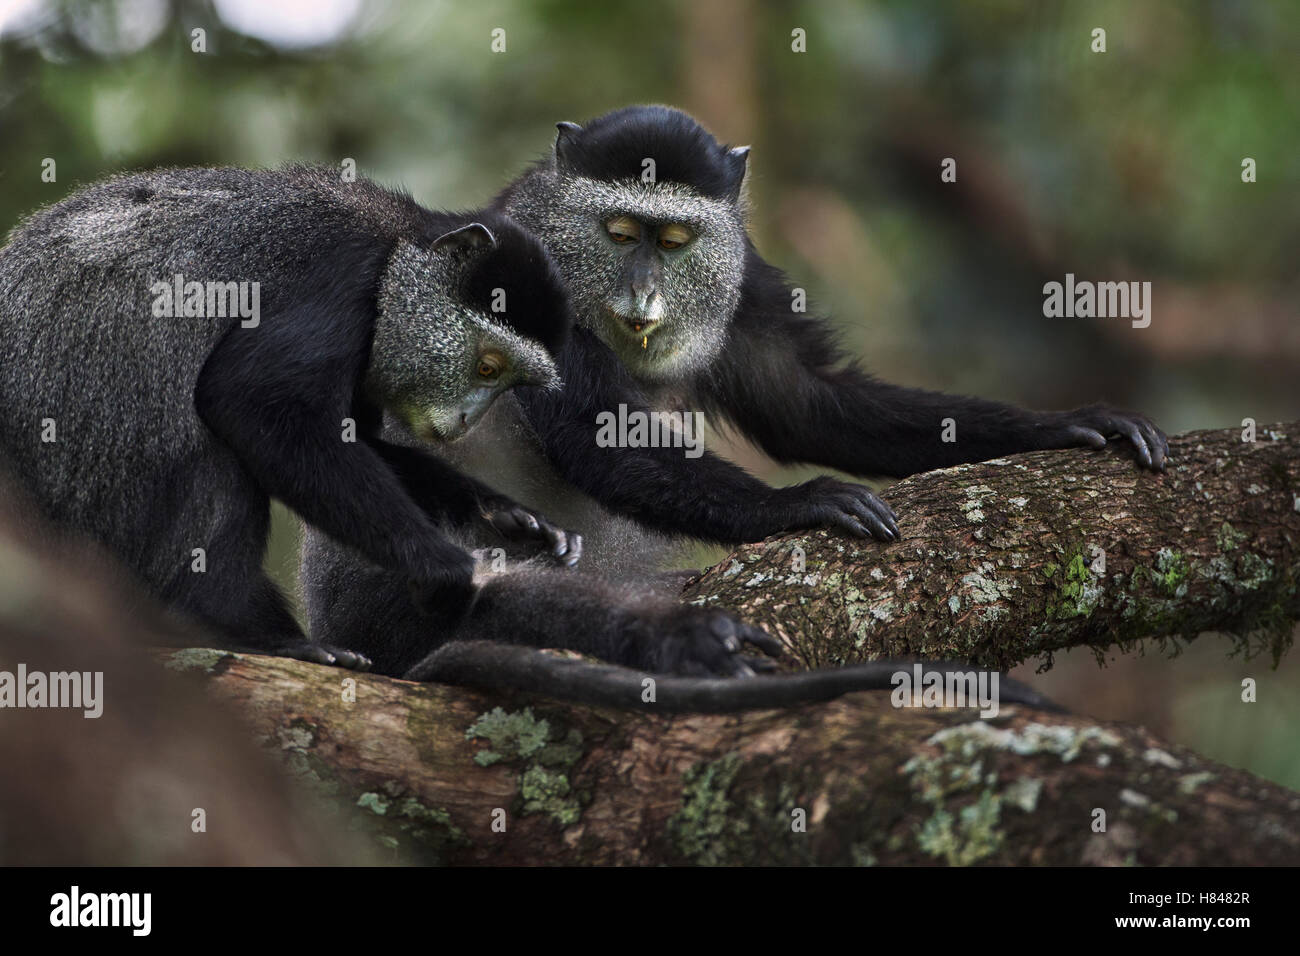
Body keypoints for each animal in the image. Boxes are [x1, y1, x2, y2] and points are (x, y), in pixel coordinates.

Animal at [0, 163, 602, 670]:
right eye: (487, 366)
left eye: (507, 383)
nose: (464, 421)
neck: (395, 250)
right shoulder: (343, 280)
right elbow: (252, 403)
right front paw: (440, 565)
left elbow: (356, 438)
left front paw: (508, 516)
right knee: (217, 462)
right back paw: (242, 628)